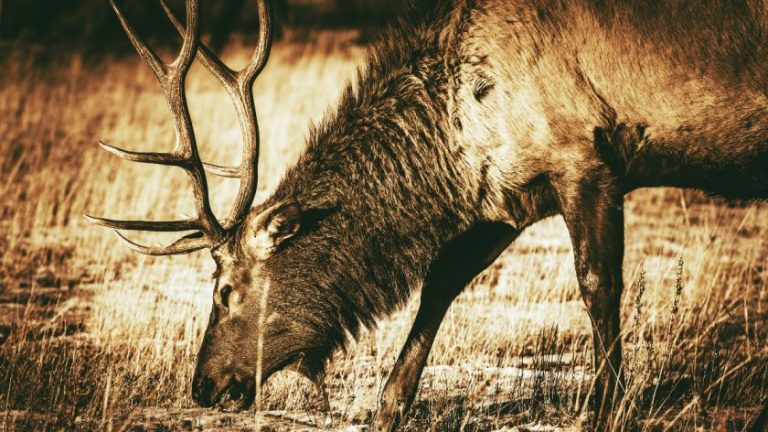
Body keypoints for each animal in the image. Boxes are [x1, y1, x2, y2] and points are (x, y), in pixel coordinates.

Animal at [87, 0, 768, 430]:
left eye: (224, 288)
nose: (202, 385)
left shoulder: (586, 158)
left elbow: (598, 284)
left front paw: (604, 407)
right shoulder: (508, 193)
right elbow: (440, 281)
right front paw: (389, 404)